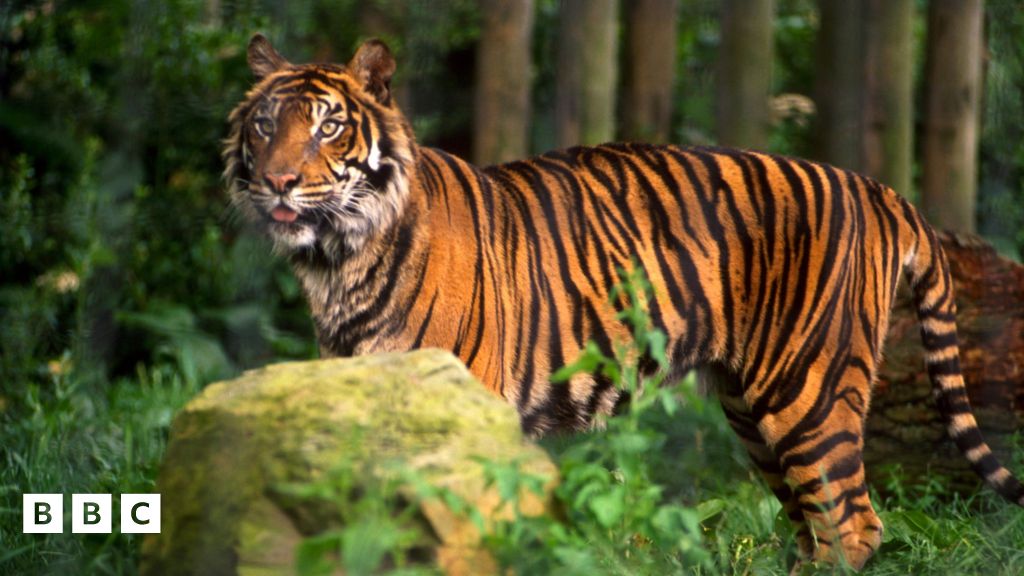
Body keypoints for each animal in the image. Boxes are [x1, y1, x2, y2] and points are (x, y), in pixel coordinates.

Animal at [223, 34, 1024, 570]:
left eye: (329, 125)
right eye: (265, 124)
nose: (279, 181)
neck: (338, 259)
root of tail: (875, 187)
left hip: (810, 391)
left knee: (852, 523)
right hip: (754, 409)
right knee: (813, 522)